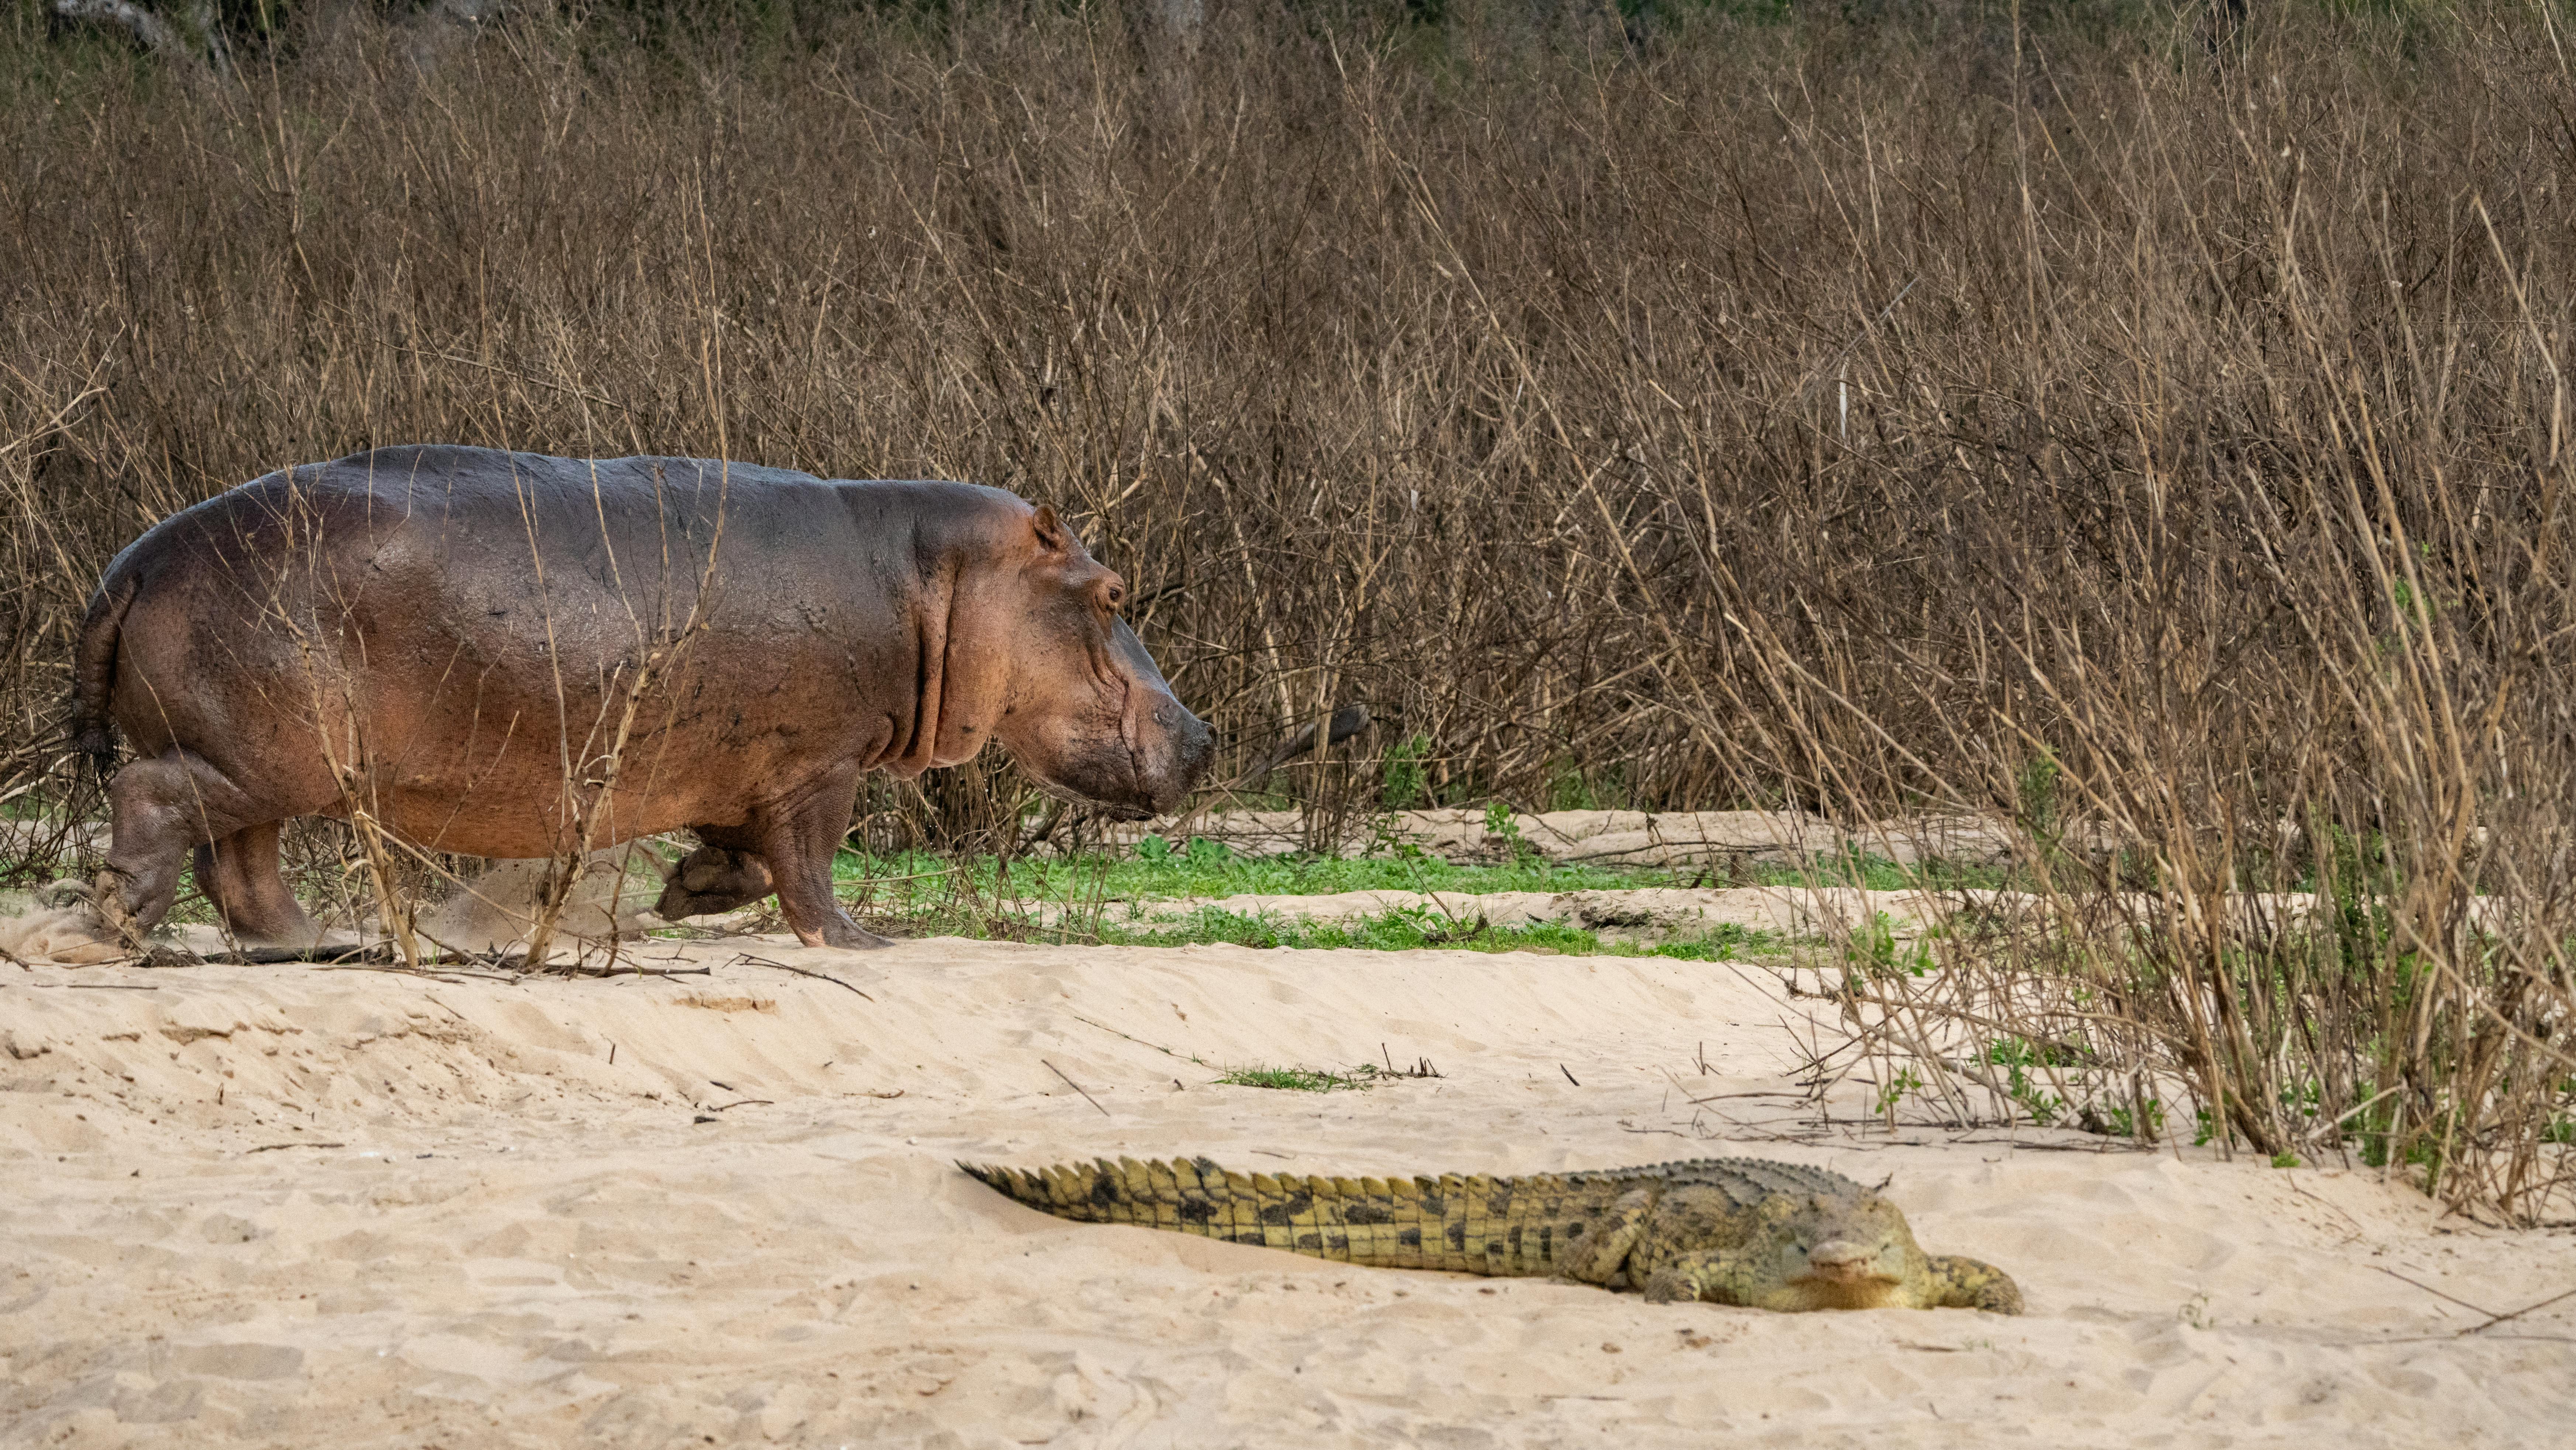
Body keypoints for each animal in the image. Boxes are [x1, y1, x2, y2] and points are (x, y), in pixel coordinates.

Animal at [67, 445, 1213, 951]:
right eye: (1113, 594)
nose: (1203, 734)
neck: (933, 576)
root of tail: (131, 562)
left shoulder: (743, 768)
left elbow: (744, 853)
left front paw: (684, 894)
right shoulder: (821, 764)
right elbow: (809, 862)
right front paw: (858, 944)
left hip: (273, 757)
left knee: (239, 864)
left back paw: (312, 941)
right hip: (267, 752)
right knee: (156, 801)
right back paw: (125, 921)